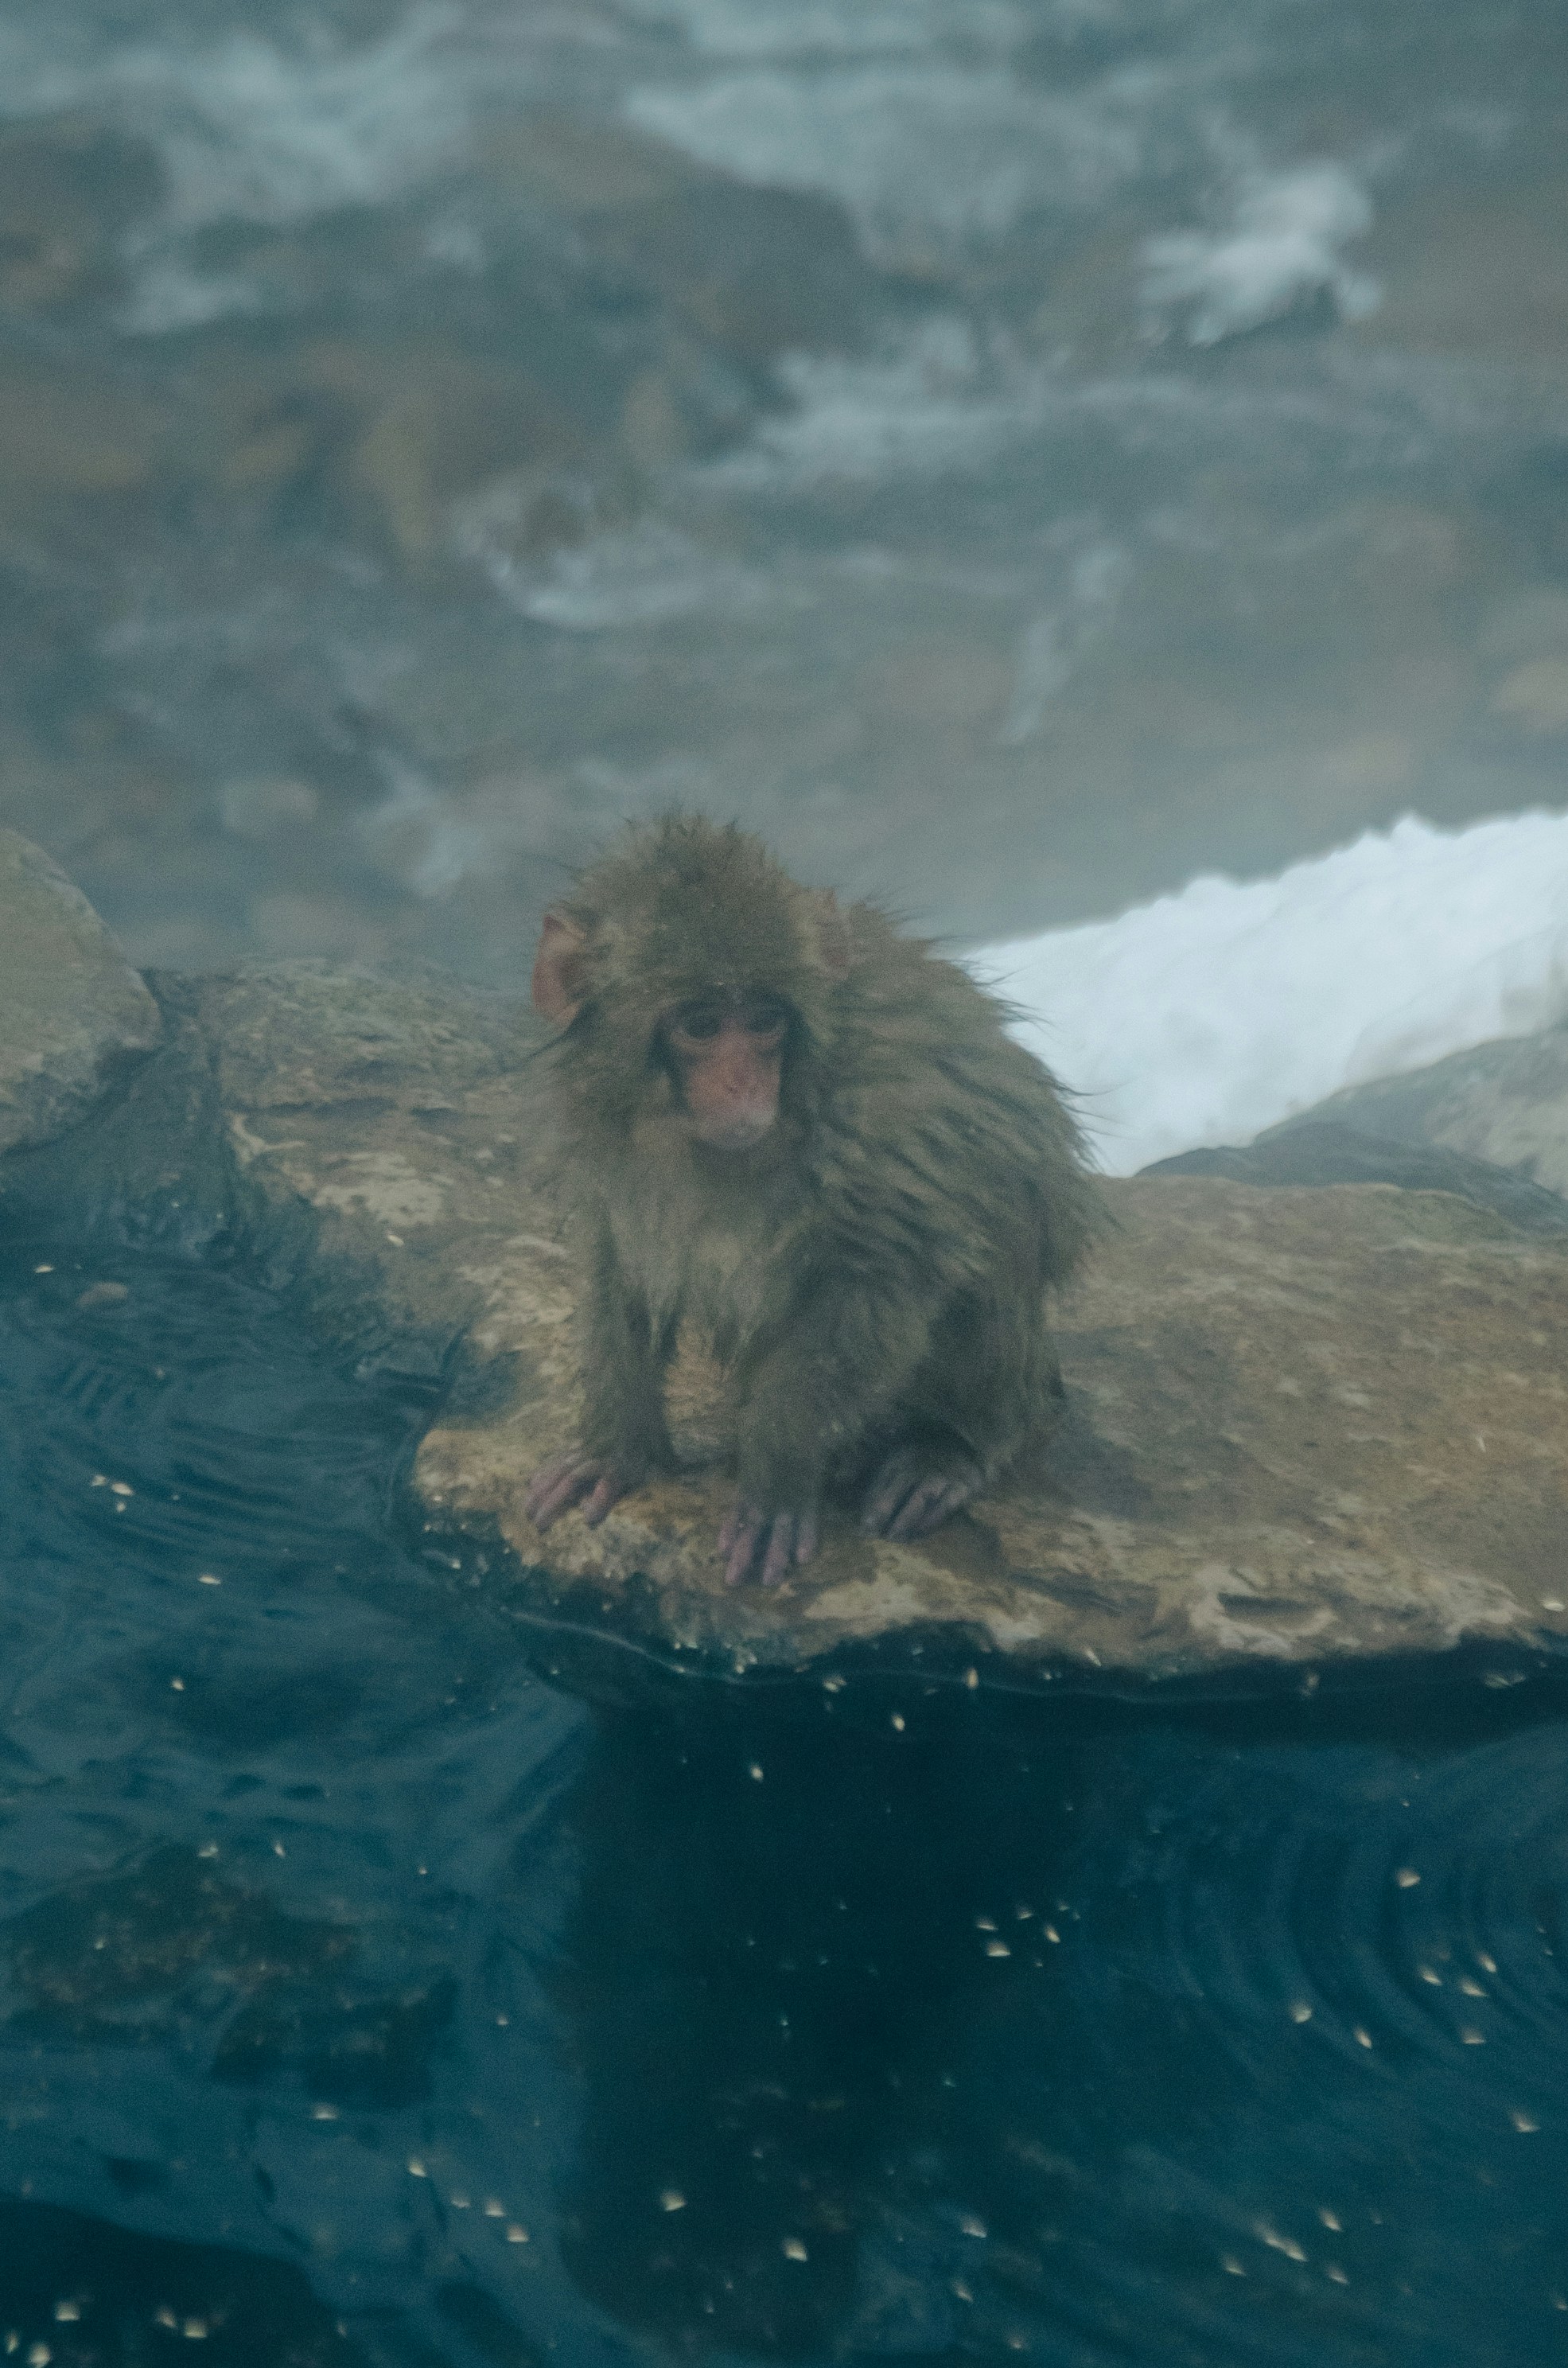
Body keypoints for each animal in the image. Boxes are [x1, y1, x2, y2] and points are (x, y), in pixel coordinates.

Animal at [524, 815, 1096, 1587]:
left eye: (765, 1020)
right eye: (701, 1025)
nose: (743, 1086)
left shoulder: (885, 1121)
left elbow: (885, 1282)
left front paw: (774, 1478)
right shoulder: (605, 1135)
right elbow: (624, 1267)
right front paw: (615, 1449)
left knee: (993, 1249)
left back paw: (953, 1448)